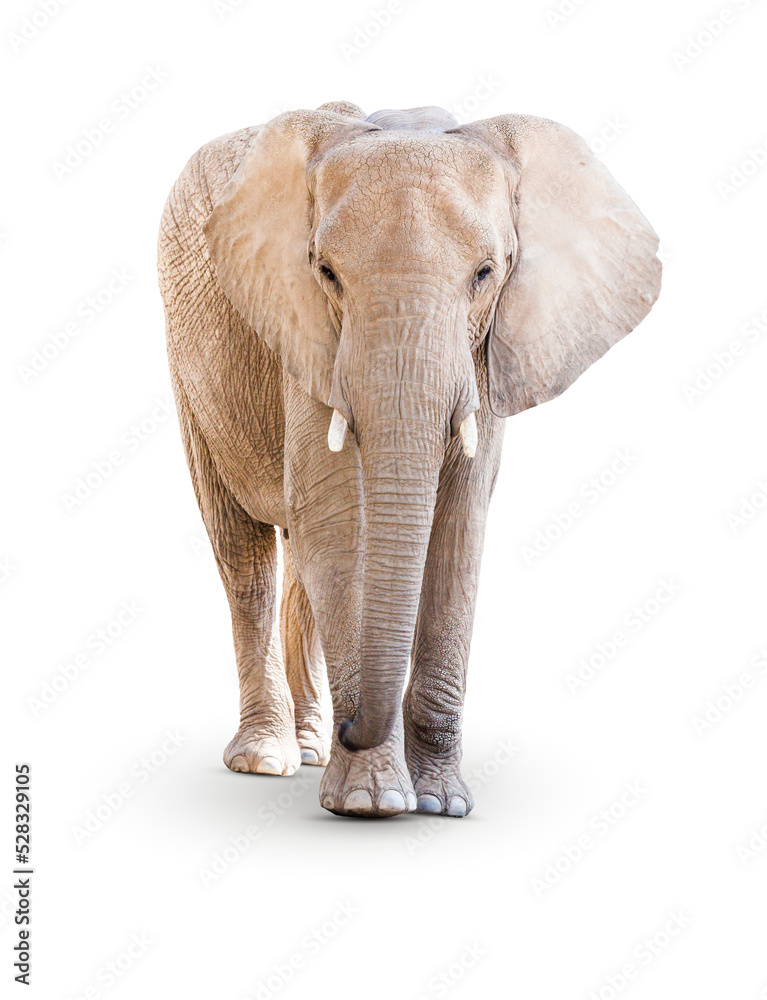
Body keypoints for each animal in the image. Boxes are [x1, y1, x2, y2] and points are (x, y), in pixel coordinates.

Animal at [157, 101, 660, 819]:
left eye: (485, 273)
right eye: (326, 272)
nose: (353, 725)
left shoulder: (487, 353)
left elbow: (458, 531)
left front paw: (442, 804)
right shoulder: (306, 333)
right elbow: (338, 522)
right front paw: (372, 801)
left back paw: (310, 748)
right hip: (190, 364)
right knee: (246, 557)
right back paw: (267, 760)